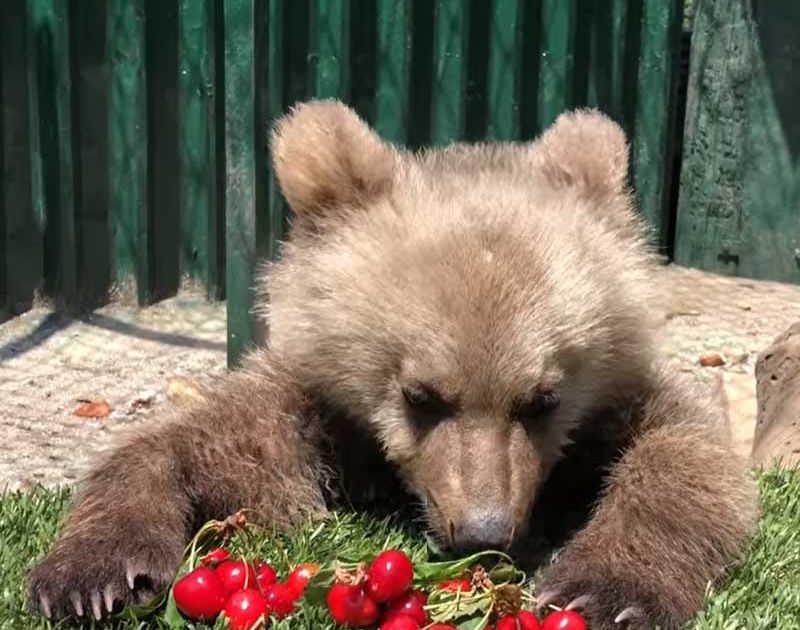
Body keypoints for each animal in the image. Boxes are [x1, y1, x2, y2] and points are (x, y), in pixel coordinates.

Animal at [27, 101, 758, 629]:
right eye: (421, 395)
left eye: (544, 398)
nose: (483, 531)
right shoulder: (318, 404)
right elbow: (208, 444)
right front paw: (91, 574)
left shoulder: (617, 403)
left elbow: (687, 454)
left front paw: (604, 589)